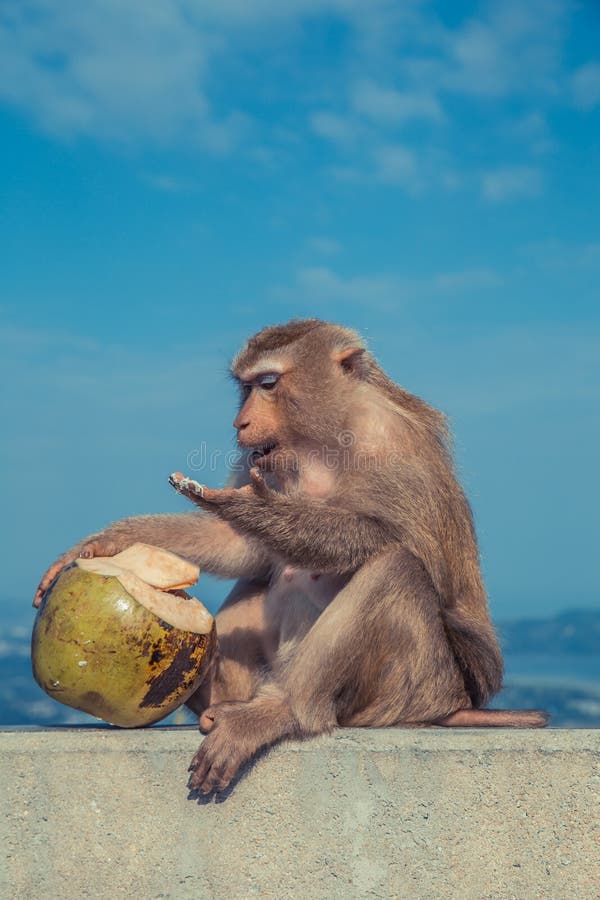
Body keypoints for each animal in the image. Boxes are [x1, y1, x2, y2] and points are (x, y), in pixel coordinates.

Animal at [34, 318, 548, 794]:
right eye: (245, 388)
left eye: (267, 384)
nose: (240, 423)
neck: (323, 436)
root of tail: (454, 702)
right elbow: (241, 548)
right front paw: (109, 543)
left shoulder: (388, 439)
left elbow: (387, 539)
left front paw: (248, 506)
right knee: (263, 581)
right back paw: (223, 706)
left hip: (411, 690)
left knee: (395, 568)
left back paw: (279, 712)